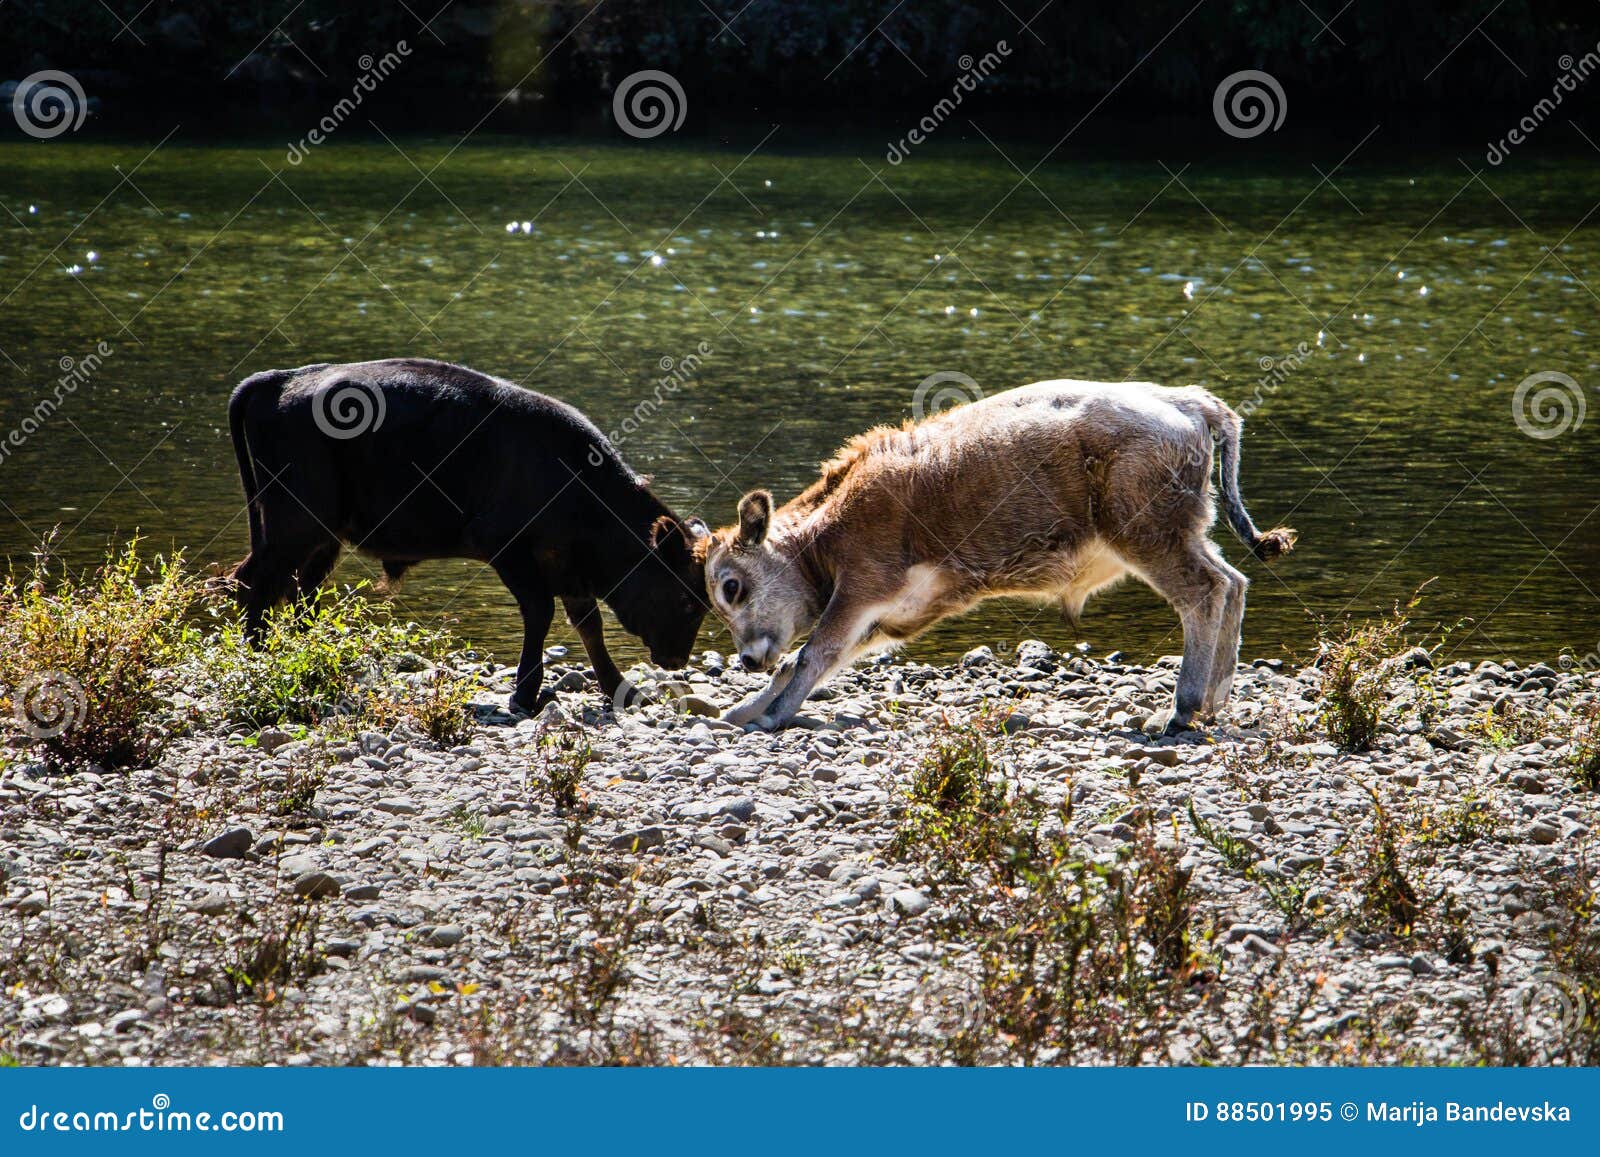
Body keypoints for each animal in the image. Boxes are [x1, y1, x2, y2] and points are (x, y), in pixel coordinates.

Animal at [227, 358, 710, 713]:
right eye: (687, 599)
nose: (676, 659)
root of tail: (281, 379)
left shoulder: (569, 568)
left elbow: (588, 624)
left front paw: (619, 687)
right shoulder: (507, 550)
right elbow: (541, 613)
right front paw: (525, 693)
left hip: (323, 537)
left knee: (299, 590)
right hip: (294, 526)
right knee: (256, 581)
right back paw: (261, 659)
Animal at [698, 379, 1296, 734]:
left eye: (732, 585)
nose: (746, 658)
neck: (828, 524)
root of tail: (1188, 400)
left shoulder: (859, 592)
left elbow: (811, 654)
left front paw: (771, 716)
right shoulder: (890, 616)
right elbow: (815, 660)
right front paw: (744, 708)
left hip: (1151, 540)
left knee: (1205, 592)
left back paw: (1181, 709)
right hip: (1185, 537)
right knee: (1234, 581)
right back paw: (1214, 701)